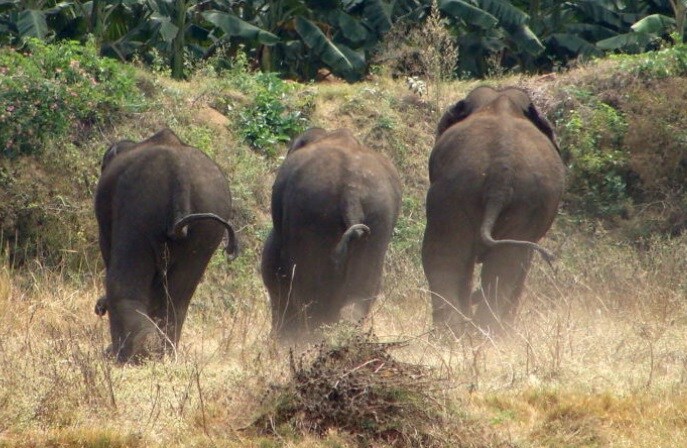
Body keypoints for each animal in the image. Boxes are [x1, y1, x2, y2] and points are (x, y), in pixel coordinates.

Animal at [94, 128, 238, 363]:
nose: (99, 308)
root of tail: (179, 172)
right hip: (208, 223)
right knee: (179, 297)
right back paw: (163, 353)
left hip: (141, 205)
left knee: (124, 279)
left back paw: (132, 353)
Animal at [422, 86, 565, 332]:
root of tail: (500, 175)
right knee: (500, 264)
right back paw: (480, 332)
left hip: (468, 192)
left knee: (458, 256)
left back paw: (465, 332)